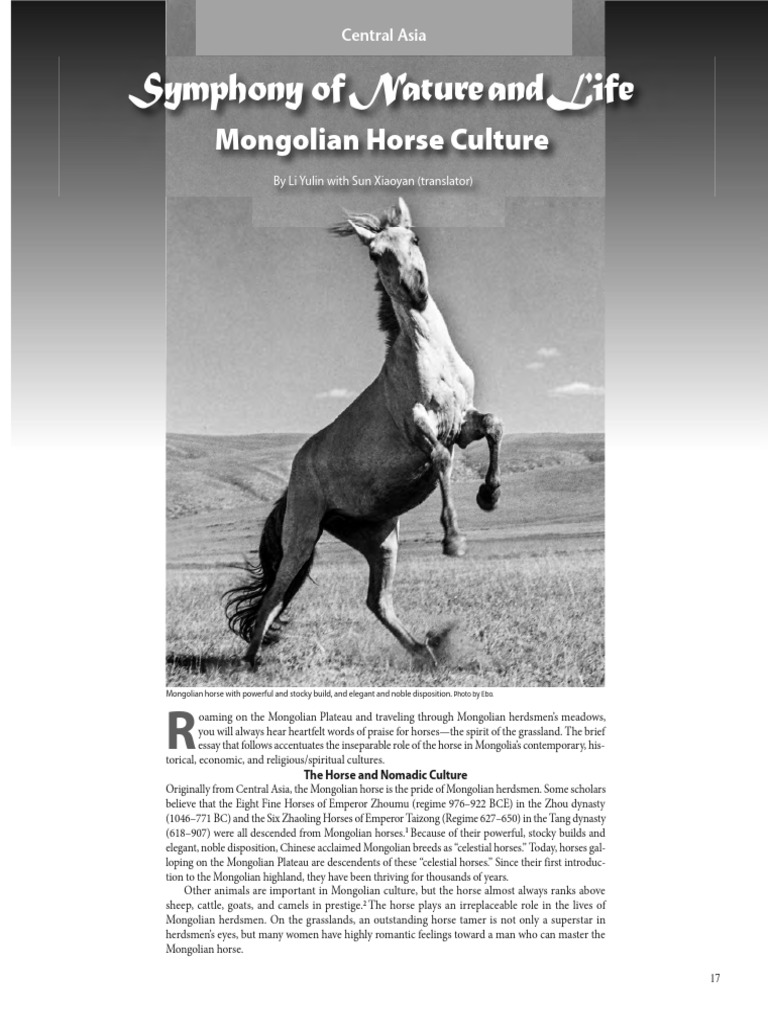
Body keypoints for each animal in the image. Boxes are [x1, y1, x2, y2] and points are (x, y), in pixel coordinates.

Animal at [224, 198, 503, 669]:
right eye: (375, 254)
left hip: (379, 540)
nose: (414, 289)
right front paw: (454, 540)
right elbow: (442, 459)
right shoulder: (419, 428)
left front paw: (490, 495)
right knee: (274, 596)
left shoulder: (462, 424)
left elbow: (494, 427)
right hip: (302, 536)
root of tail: (291, 483)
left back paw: (426, 651)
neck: (434, 362)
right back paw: (251, 660)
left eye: (415, 238)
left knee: (377, 602)